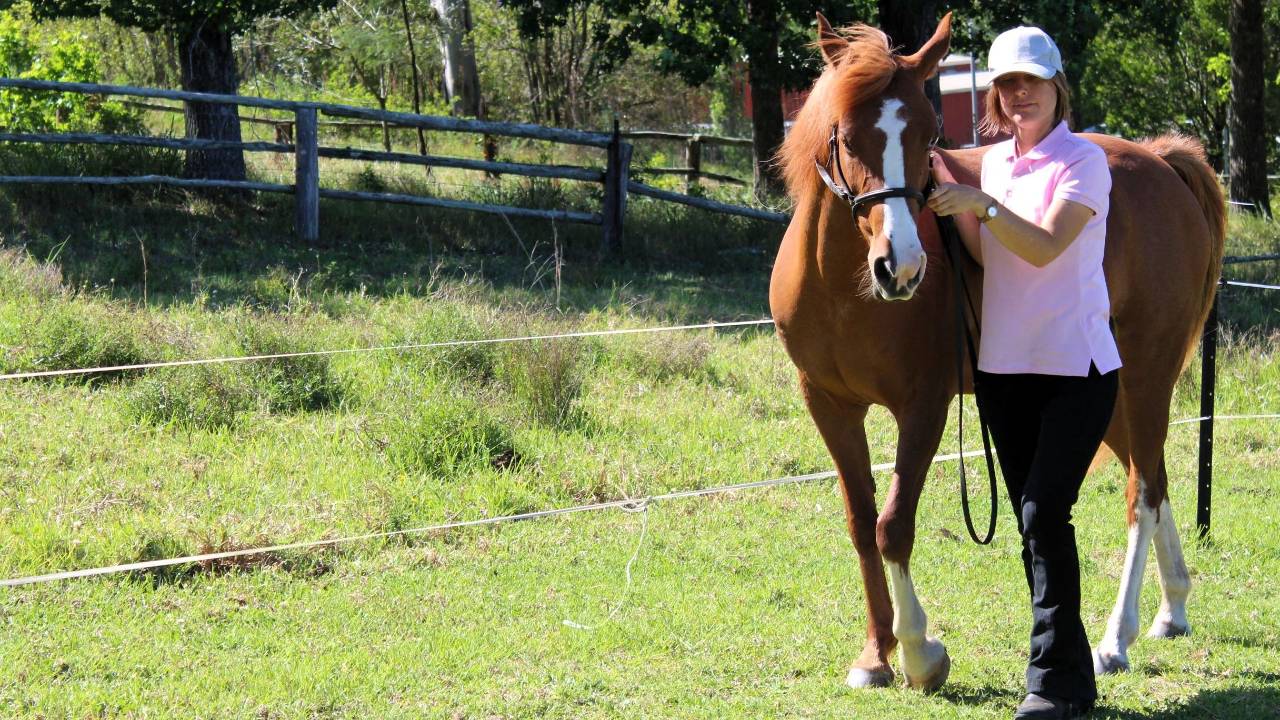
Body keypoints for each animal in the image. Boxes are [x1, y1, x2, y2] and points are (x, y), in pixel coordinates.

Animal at [769, 12, 1225, 691]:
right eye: (847, 137)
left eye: (930, 134)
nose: (901, 268)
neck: (842, 286)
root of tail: (1163, 165)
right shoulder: (828, 404)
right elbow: (860, 523)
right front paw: (875, 655)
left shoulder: (923, 407)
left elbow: (893, 525)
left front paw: (919, 653)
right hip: (1112, 392)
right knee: (1156, 476)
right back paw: (1172, 609)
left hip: (1146, 376)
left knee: (1142, 493)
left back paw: (1115, 638)